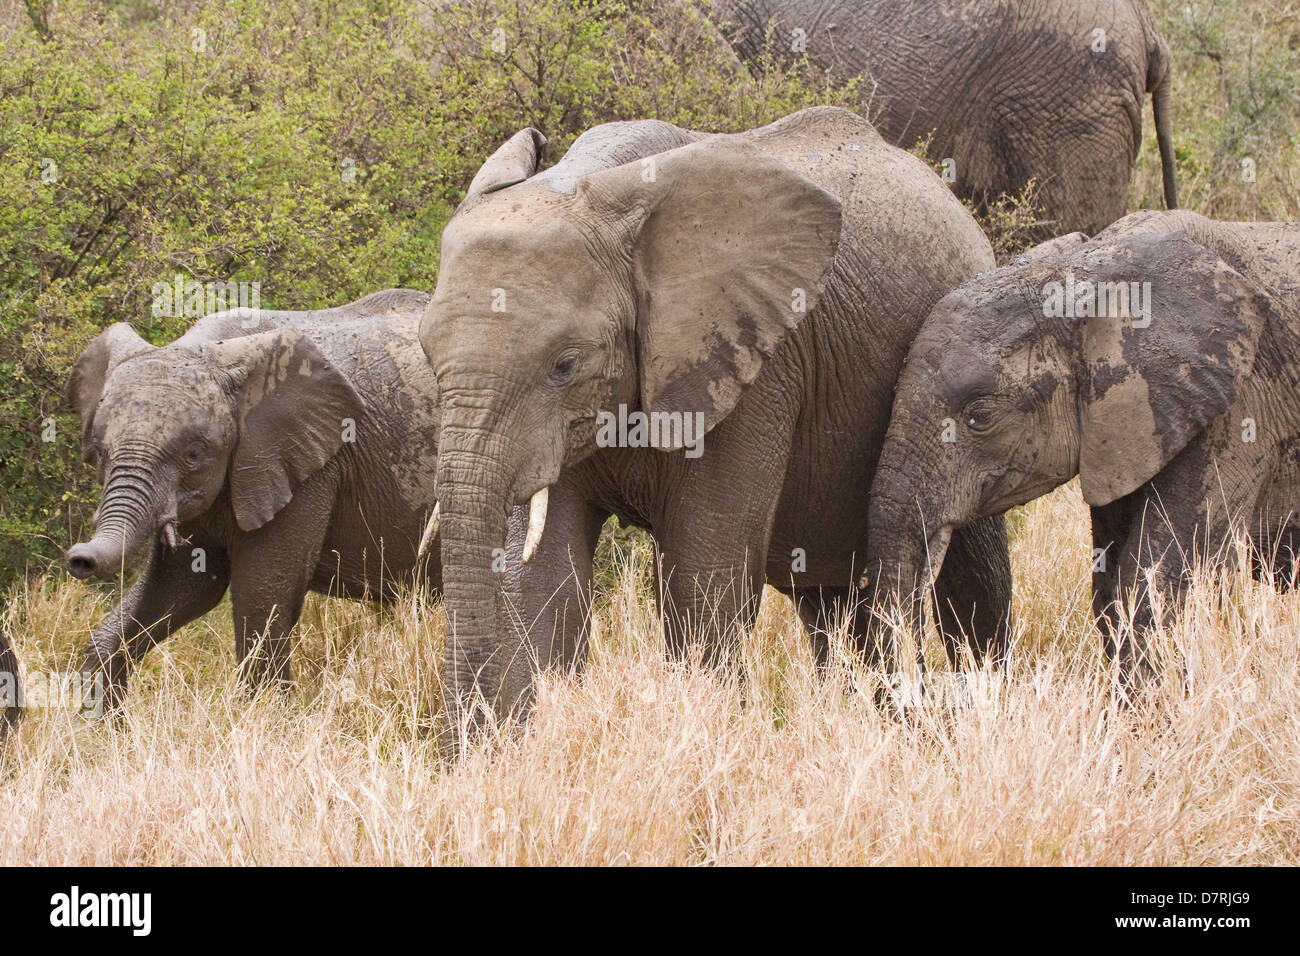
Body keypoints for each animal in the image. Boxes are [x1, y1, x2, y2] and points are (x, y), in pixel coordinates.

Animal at [65, 289, 442, 710]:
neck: (211, 351)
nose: (80, 558)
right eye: (99, 452)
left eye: (194, 454)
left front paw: (266, 712)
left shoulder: (307, 466)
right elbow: (182, 587)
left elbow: (260, 597)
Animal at [419, 105, 1015, 733]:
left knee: (973, 583)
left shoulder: (757, 362)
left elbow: (703, 578)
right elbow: (543, 580)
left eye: (564, 363)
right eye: (427, 354)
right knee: (830, 600)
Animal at [863, 209, 1300, 686]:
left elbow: (1159, 582)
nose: (924, 679)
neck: (1084, 269)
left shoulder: (1239, 406)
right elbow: (1108, 587)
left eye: (979, 415)